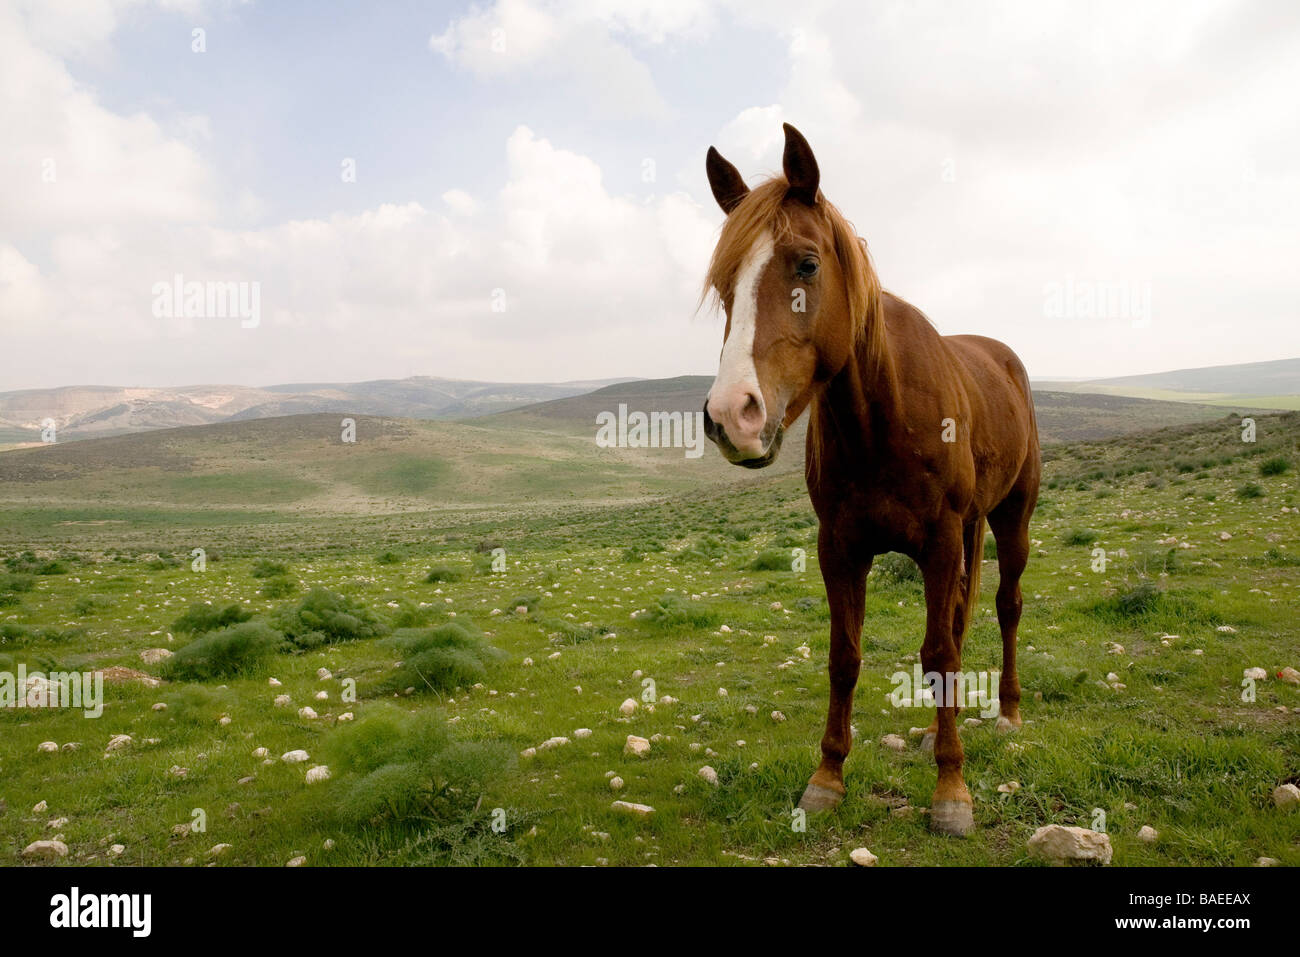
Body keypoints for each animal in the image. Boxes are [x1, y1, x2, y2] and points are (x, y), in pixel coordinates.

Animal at [700, 123, 1040, 836]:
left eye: (806, 264)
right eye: (723, 285)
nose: (731, 415)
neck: (883, 413)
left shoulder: (938, 540)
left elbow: (939, 653)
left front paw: (951, 791)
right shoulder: (840, 546)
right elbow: (846, 655)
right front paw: (827, 776)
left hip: (1010, 518)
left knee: (1006, 607)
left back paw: (1007, 712)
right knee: (962, 618)